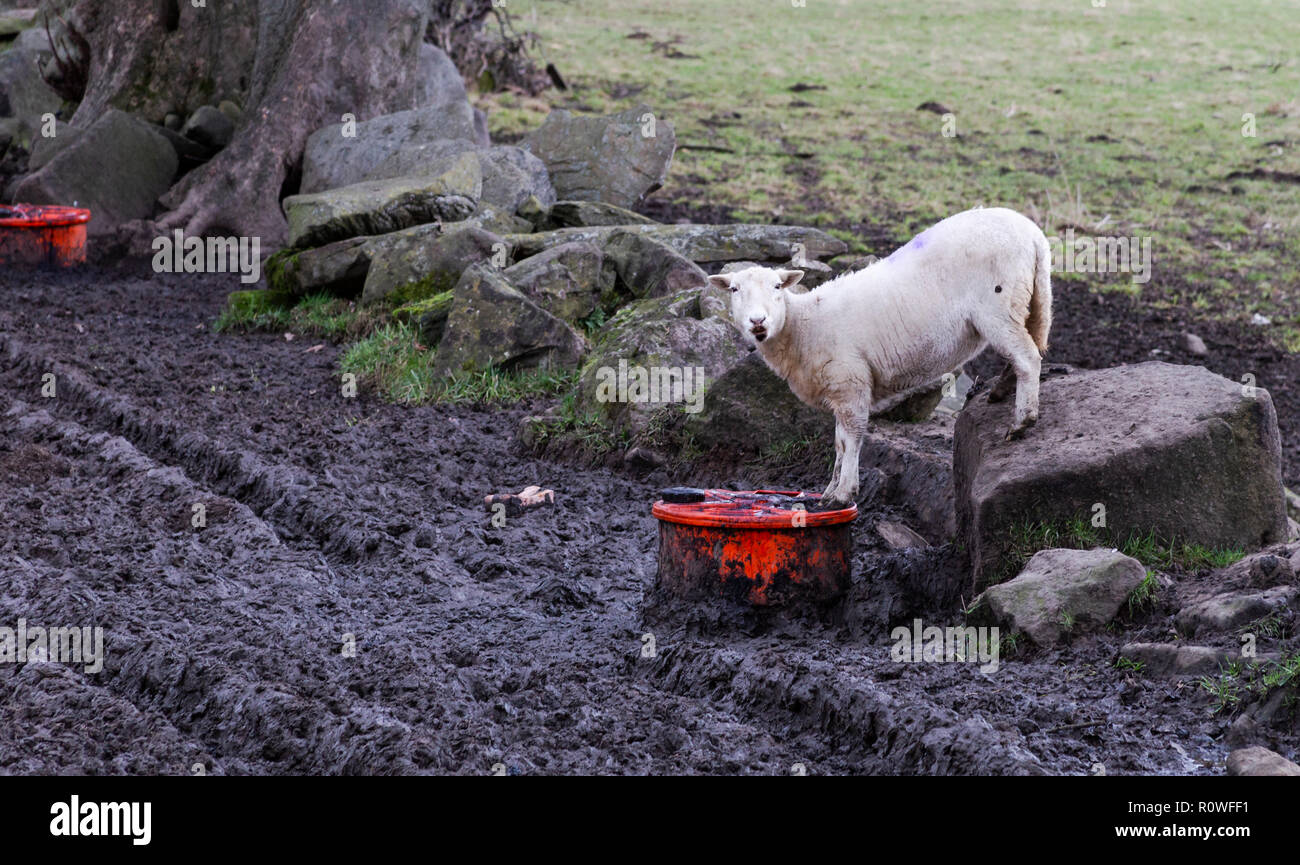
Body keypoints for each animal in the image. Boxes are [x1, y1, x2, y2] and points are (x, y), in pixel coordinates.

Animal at [708, 206, 1052, 510]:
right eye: (734, 289)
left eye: (777, 286)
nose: (758, 322)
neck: (803, 327)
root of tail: (1033, 234)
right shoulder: (840, 389)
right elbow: (839, 442)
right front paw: (829, 492)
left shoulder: (850, 381)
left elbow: (852, 438)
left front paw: (844, 492)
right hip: (1026, 299)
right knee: (1029, 347)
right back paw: (1001, 392)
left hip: (998, 303)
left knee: (1027, 357)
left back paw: (1023, 420)